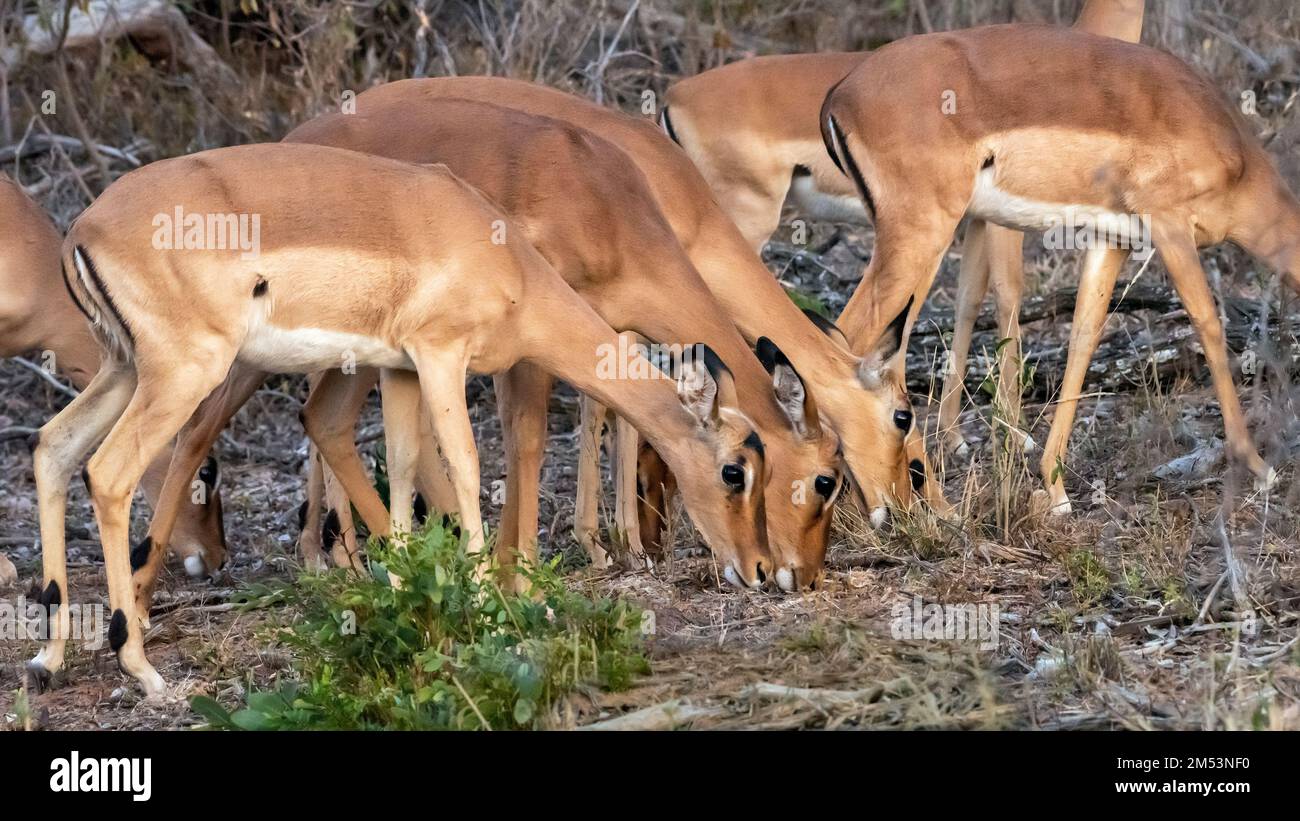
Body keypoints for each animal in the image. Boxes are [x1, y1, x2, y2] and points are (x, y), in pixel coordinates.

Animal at [28, 142, 772, 695]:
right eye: (734, 469)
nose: (762, 570)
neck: (505, 256)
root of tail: (83, 228)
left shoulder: (401, 370)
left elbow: (408, 469)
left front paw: (415, 591)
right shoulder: (441, 355)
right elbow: (467, 465)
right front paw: (489, 607)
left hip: (123, 368)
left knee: (52, 447)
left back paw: (50, 658)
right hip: (184, 371)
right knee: (110, 471)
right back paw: (141, 666)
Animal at [662, 0, 1145, 461]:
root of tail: (672, 97)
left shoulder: (975, 220)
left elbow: (969, 300)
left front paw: (956, 439)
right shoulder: (1002, 222)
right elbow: (1009, 294)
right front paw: (1015, 435)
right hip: (748, 227)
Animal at [821, 22, 1296, 513]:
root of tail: (841, 94)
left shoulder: (1112, 240)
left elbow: (1083, 337)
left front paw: (1056, 488)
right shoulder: (1170, 226)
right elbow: (1208, 324)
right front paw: (1258, 467)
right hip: (920, 236)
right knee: (845, 341)